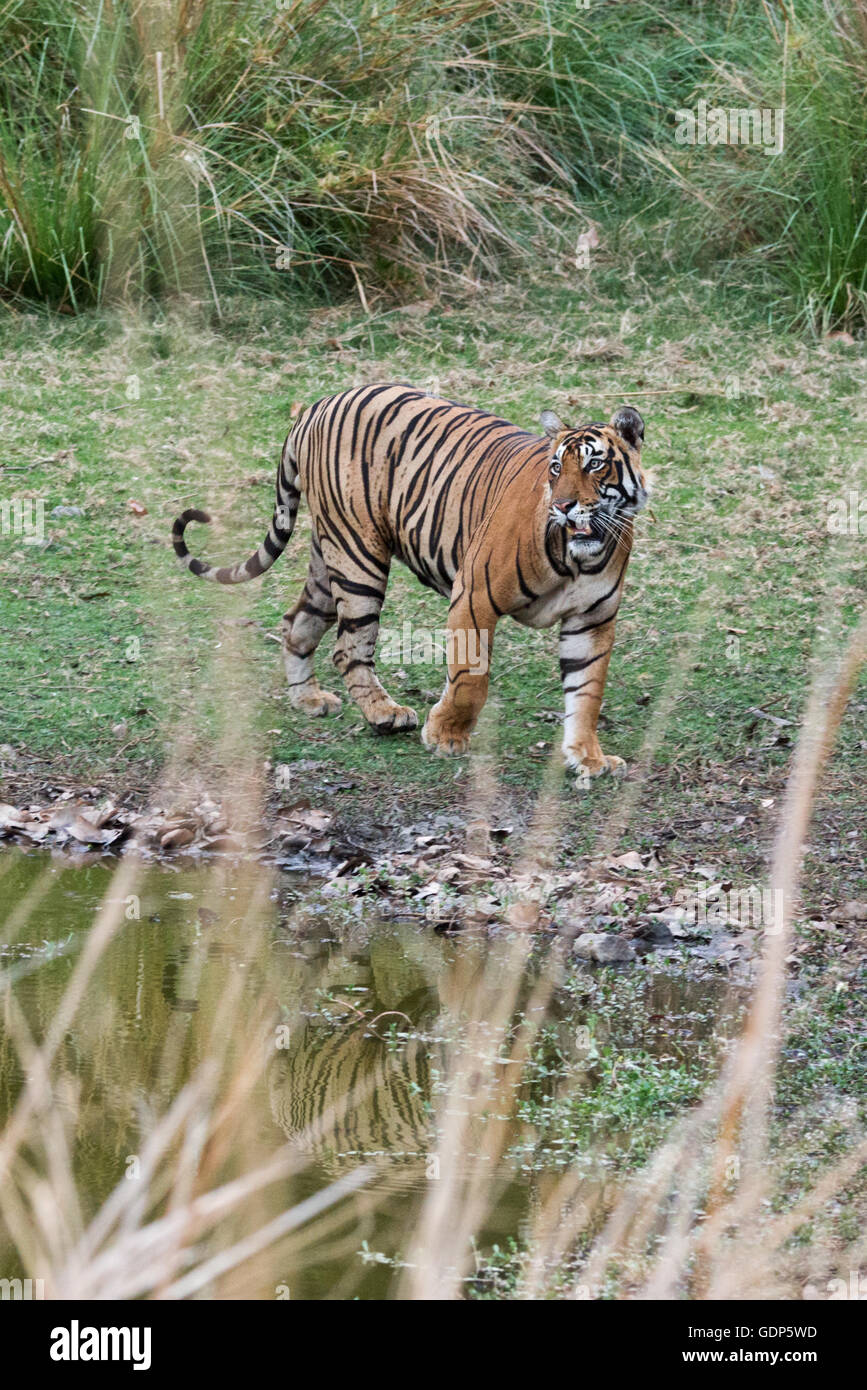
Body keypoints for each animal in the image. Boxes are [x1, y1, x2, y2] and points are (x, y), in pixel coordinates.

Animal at [171, 385, 649, 776]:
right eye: (555, 468)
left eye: (594, 465)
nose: (564, 506)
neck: (580, 558)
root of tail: (318, 404)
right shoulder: (473, 596)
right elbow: (471, 679)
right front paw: (446, 737)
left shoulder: (592, 621)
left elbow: (586, 693)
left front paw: (588, 758)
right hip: (358, 557)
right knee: (348, 648)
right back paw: (384, 714)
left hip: (329, 561)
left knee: (297, 623)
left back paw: (308, 699)